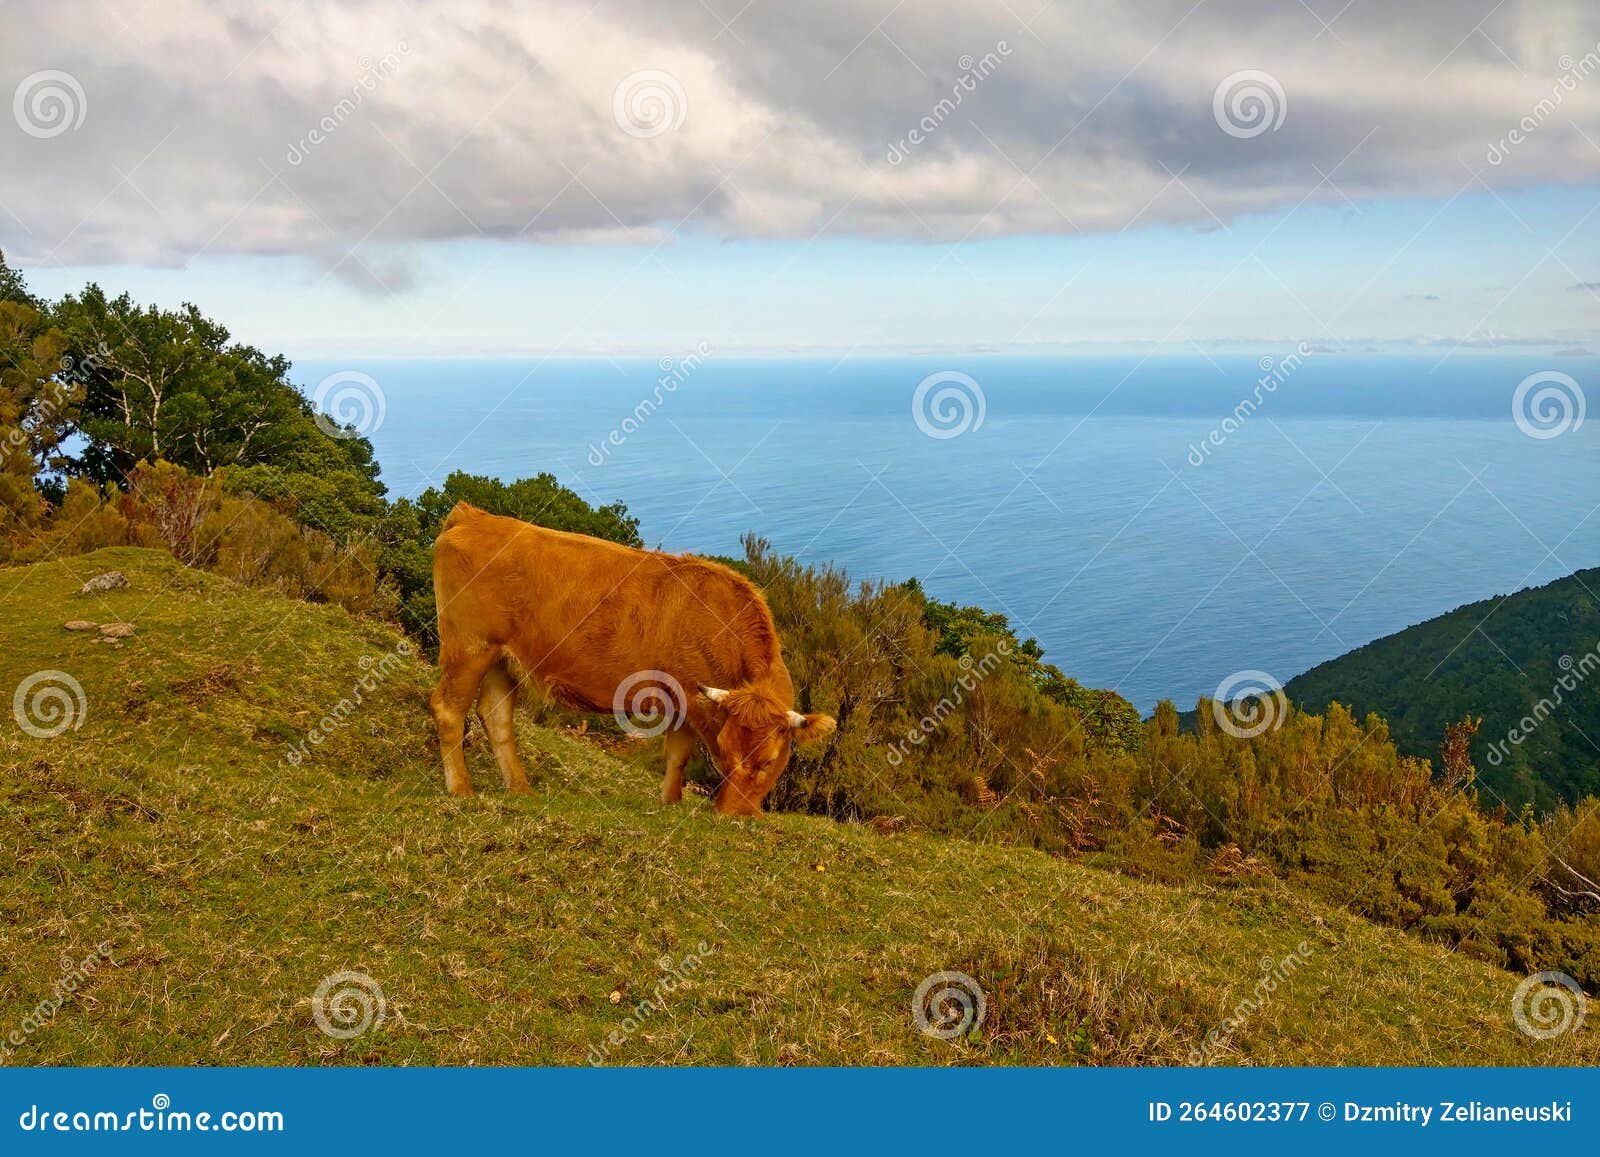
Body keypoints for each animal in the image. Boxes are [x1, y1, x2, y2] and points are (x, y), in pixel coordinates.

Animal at [429, 502, 835, 815]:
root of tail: (472, 516)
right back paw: (461, 789)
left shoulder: (685, 702)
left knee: (496, 716)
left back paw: (520, 788)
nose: (732, 815)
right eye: (724, 753)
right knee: (449, 708)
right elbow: (679, 755)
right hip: (469, 646)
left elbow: (677, 758)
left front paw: (669, 804)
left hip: (502, 658)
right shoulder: (691, 700)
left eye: (767, 761)